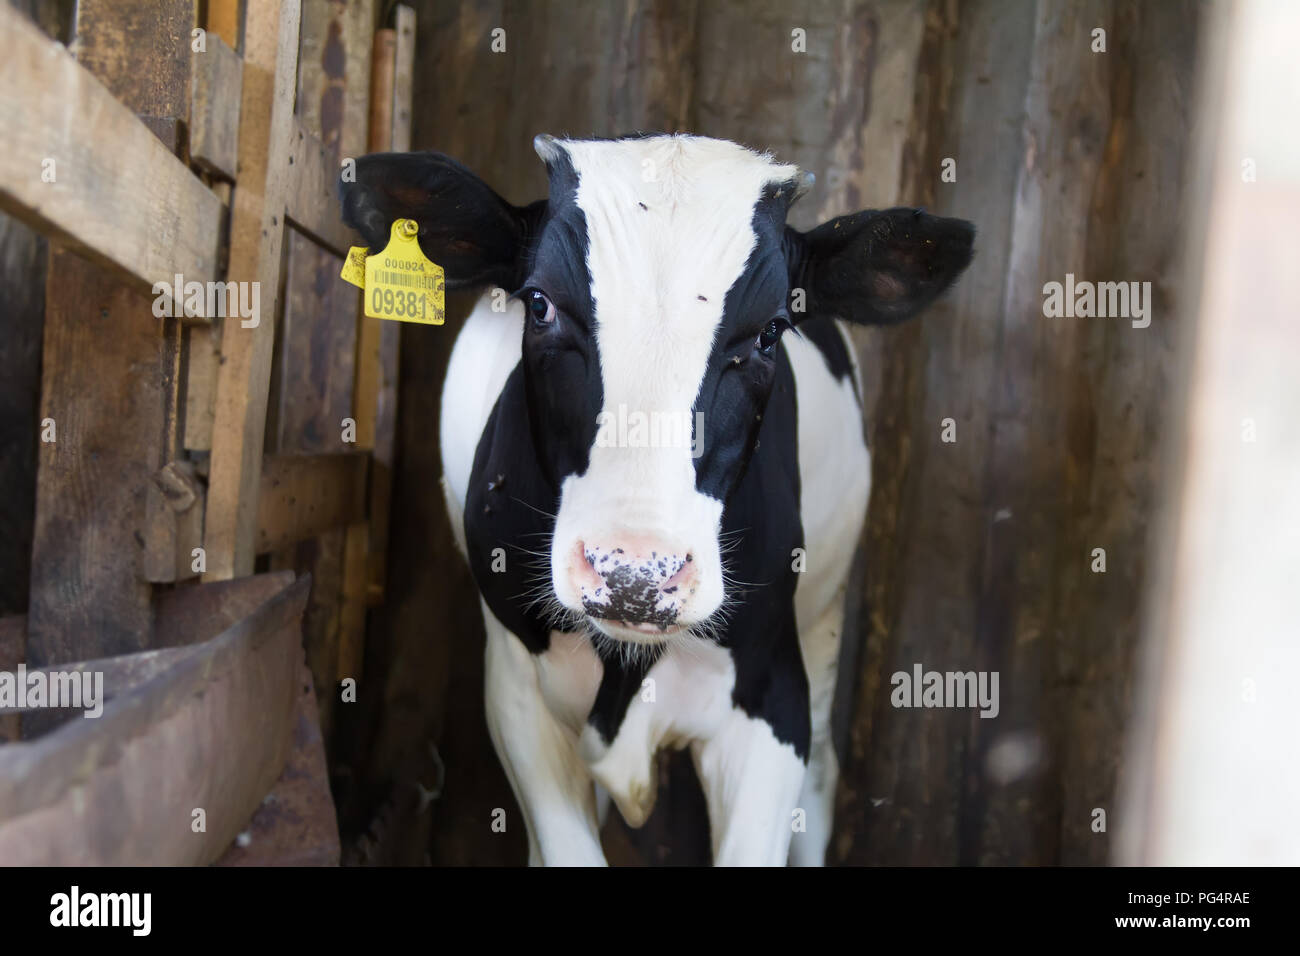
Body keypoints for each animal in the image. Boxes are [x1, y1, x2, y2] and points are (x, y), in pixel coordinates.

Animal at [340, 134, 974, 865]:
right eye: (539, 304)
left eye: (771, 331)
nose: (634, 576)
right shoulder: (516, 690)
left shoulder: (772, 689)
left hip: (824, 614)